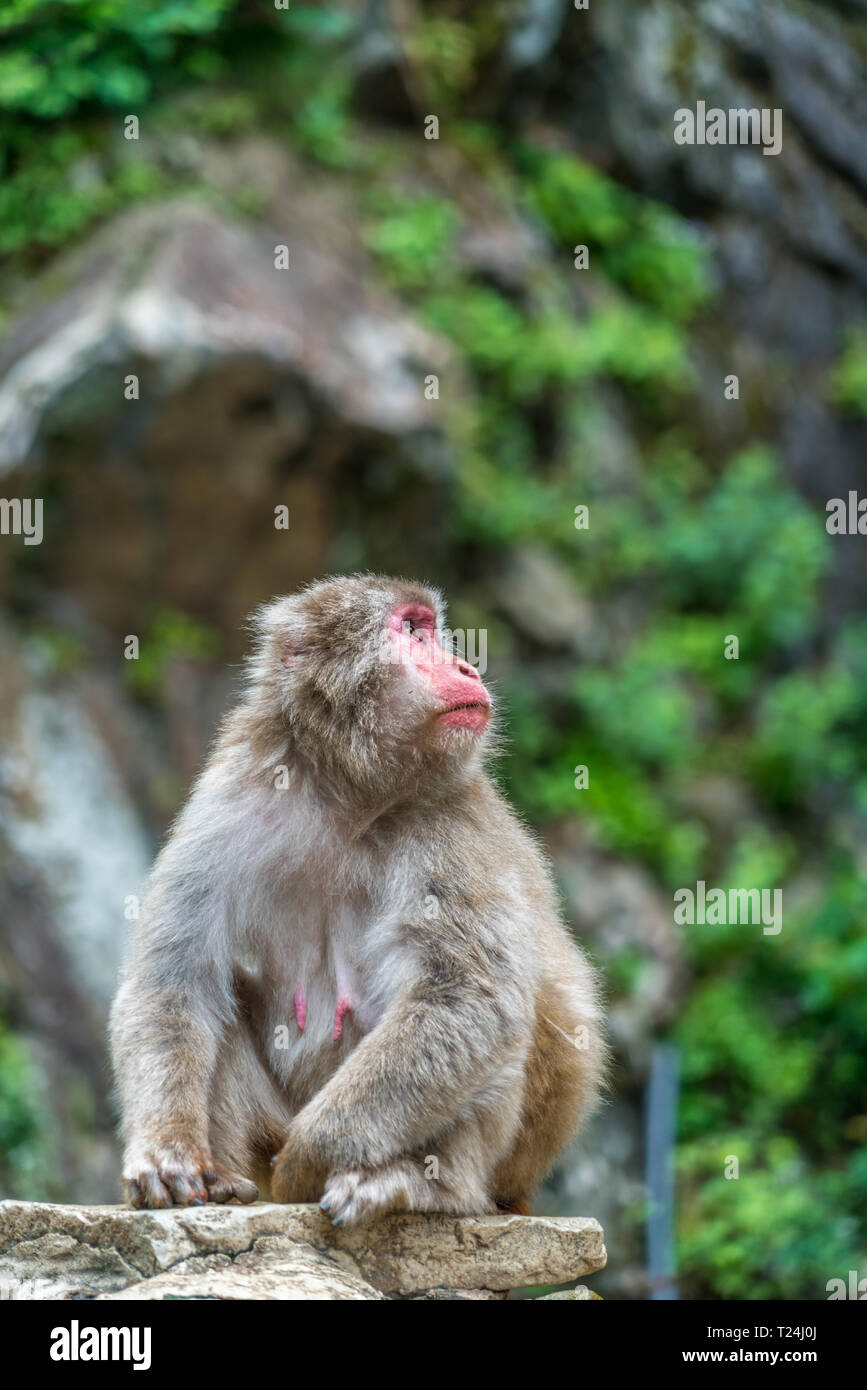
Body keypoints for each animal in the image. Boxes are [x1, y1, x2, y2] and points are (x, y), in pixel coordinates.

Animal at [109, 573, 606, 1224]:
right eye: (413, 630)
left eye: (431, 630)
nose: (467, 668)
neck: (346, 792)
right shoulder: (231, 796)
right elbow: (175, 982)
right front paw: (167, 1154)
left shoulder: (452, 818)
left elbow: (468, 999)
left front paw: (310, 1157)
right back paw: (224, 1179)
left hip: (512, 1158)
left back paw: (424, 1186)